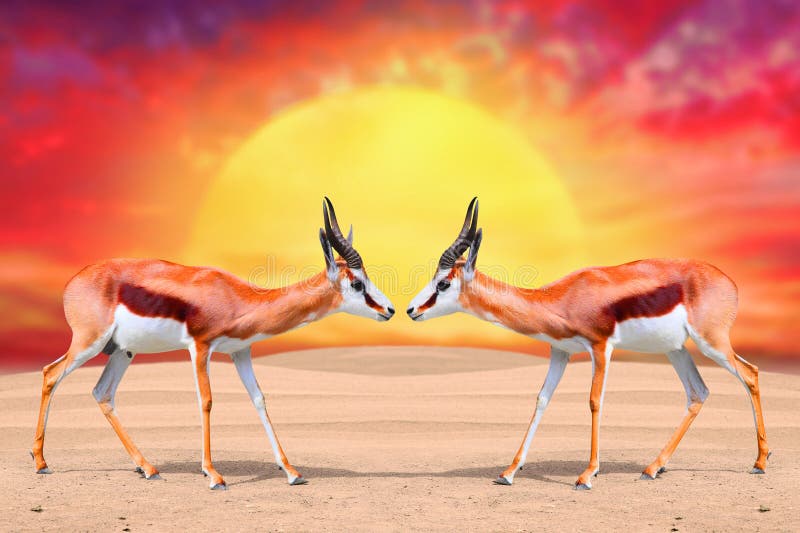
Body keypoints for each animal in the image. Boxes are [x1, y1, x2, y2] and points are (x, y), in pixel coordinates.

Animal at [32, 198, 395, 489]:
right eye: (357, 283)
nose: (390, 310)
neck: (240, 299)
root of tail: (73, 281)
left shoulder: (240, 351)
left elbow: (259, 400)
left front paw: (292, 472)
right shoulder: (200, 347)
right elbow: (205, 401)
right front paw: (214, 475)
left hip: (123, 351)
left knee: (102, 393)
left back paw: (148, 467)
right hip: (90, 343)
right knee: (51, 374)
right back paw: (41, 463)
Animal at [407, 198, 769, 489]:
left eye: (443, 283)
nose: (411, 310)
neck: (559, 300)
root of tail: (728, 281)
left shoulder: (600, 347)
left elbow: (595, 401)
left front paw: (586, 475)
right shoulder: (560, 351)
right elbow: (541, 399)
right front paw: (508, 473)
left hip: (711, 343)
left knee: (750, 374)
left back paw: (759, 462)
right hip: (676, 349)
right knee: (698, 393)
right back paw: (652, 468)